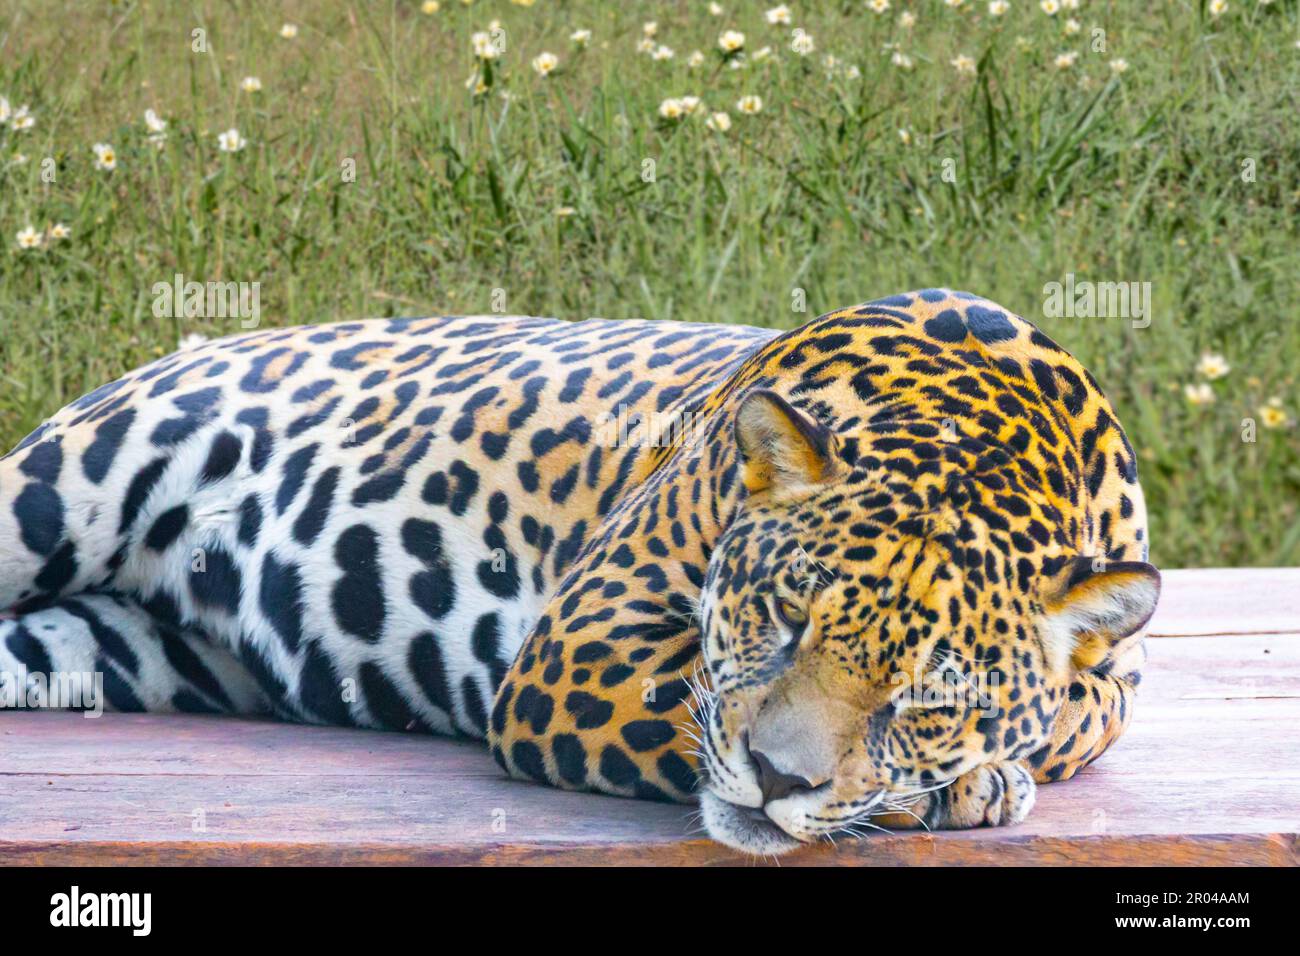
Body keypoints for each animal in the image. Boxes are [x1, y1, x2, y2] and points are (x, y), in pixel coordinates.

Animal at [0, 289, 1159, 856]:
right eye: (782, 617)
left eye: (926, 698)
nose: (777, 778)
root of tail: (192, 343)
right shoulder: (580, 639)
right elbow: (689, 705)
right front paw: (942, 790)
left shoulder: (1118, 677)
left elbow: (1077, 711)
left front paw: (966, 770)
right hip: (62, 483)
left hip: (113, 646)